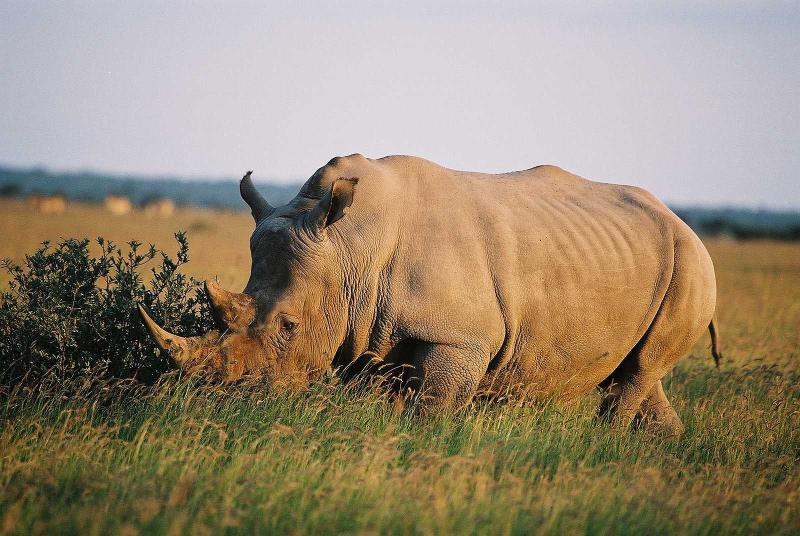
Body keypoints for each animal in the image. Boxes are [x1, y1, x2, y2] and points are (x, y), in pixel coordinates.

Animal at [139, 154, 721, 435]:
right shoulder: (367, 332)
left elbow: (433, 409)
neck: (351, 248)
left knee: (640, 372)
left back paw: (604, 446)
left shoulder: (460, 338)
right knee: (641, 373)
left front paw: (427, 450)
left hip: (693, 263)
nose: (223, 401)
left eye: (287, 327)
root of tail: (682, 221)